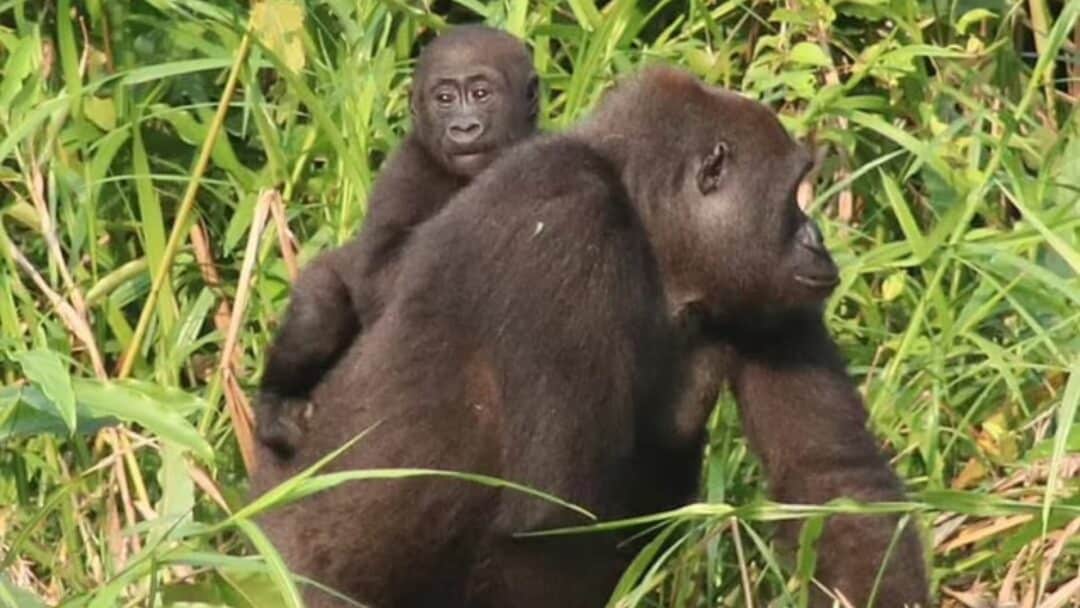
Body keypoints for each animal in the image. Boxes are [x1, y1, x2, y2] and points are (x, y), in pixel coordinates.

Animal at [255, 25, 540, 459]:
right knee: (318, 309)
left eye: (481, 94)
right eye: (444, 99)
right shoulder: (404, 169)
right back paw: (275, 402)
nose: (464, 128)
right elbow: (380, 279)